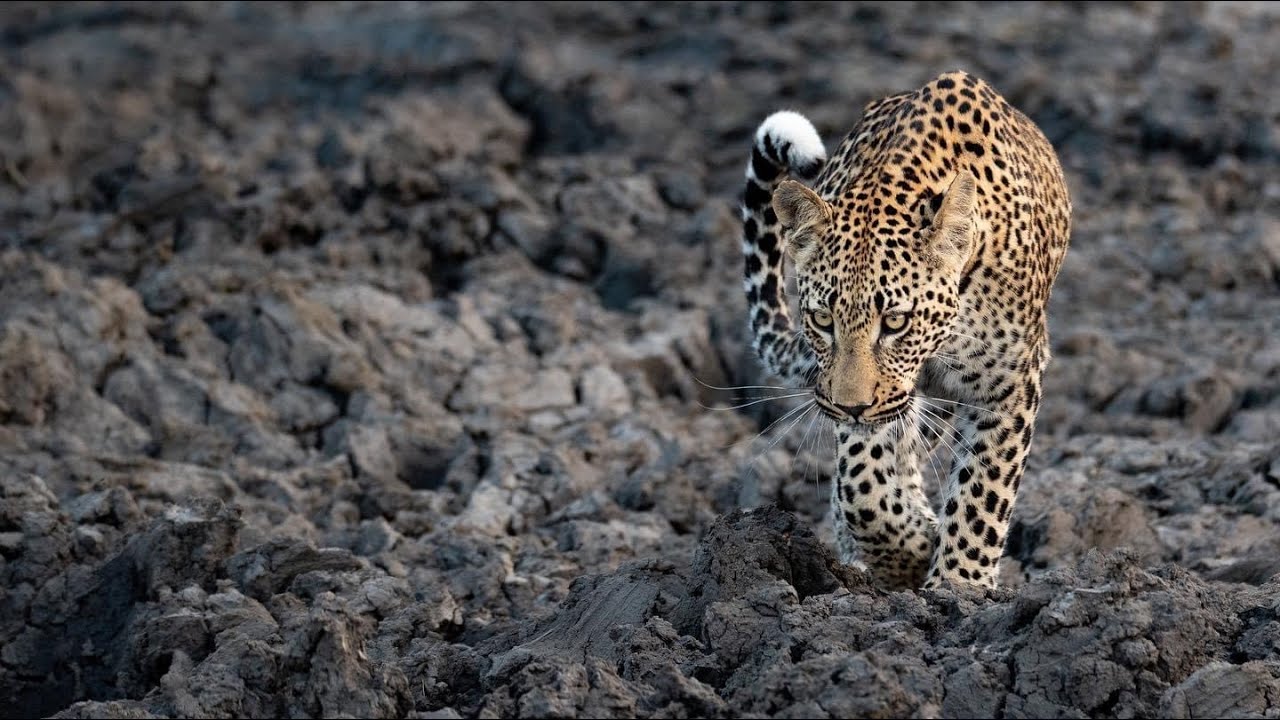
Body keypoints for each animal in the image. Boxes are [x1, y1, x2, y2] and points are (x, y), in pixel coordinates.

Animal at [739, 70, 1071, 590]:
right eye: (822, 320)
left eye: (896, 322)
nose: (851, 407)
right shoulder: (864, 398)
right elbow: (864, 486)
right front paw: (910, 551)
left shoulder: (1009, 385)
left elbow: (981, 495)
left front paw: (959, 587)